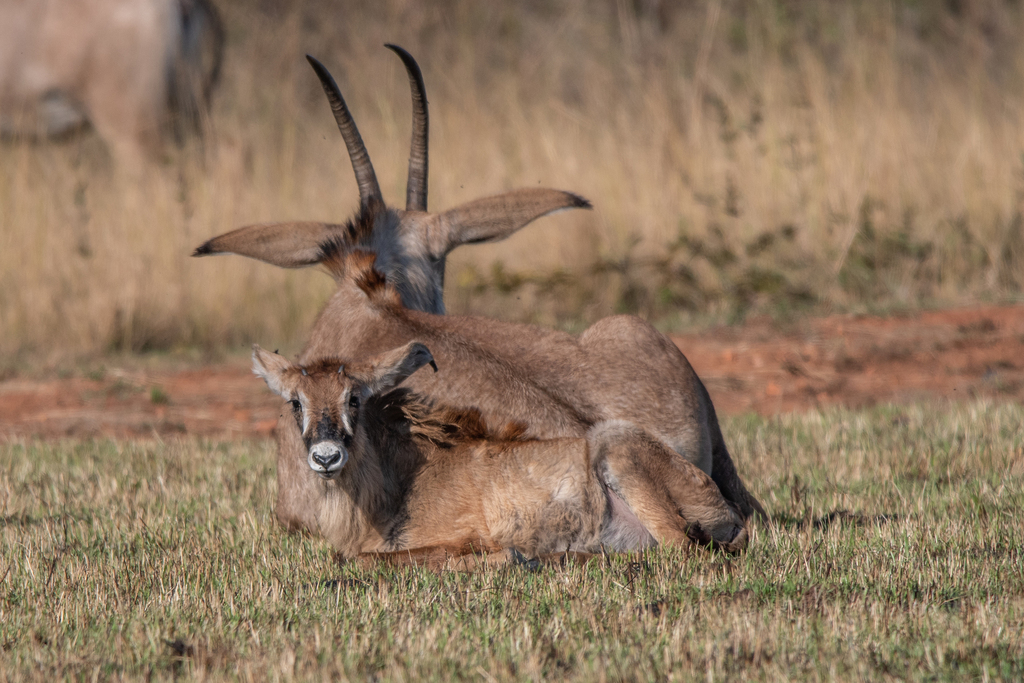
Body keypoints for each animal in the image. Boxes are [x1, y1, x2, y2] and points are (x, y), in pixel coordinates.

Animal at [251, 340, 748, 567]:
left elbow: (362, 559)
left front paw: (502, 558)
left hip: (616, 445)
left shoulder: (459, 537)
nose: (326, 457)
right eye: (296, 402)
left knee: (680, 548)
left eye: (354, 398)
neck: (398, 484)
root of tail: (723, 506)